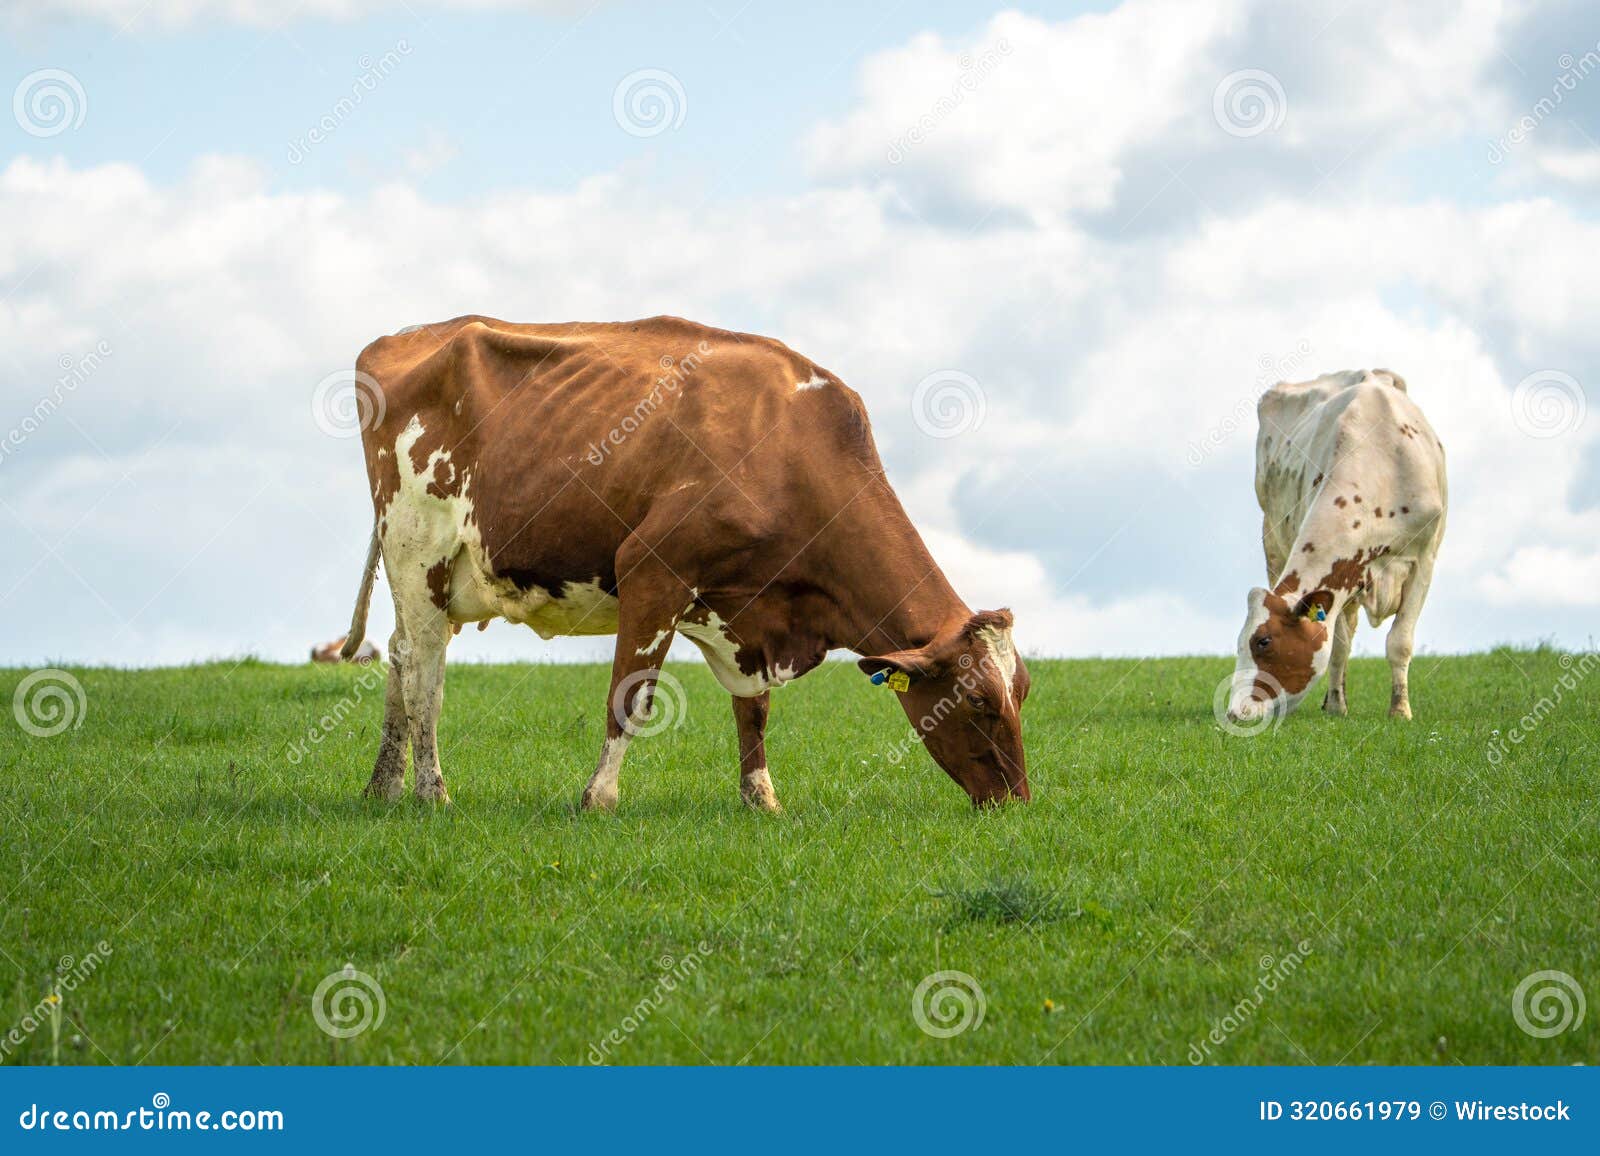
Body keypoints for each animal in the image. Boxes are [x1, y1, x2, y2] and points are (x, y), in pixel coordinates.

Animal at [338, 316, 1030, 809]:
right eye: (976, 701)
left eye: (1021, 690)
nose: (1017, 802)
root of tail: (411, 335)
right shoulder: (650, 570)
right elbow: (629, 695)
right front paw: (599, 797)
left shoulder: (750, 619)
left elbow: (754, 710)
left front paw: (761, 799)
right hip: (418, 549)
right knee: (425, 673)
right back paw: (431, 792)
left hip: (434, 576)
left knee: (399, 658)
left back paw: (383, 787)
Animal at [1226, 369, 1446, 725]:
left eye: (1263, 641)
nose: (1234, 711)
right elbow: (1339, 646)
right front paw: (1335, 705)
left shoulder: (1423, 561)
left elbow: (1399, 642)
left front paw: (1400, 710)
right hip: (1271, 537)